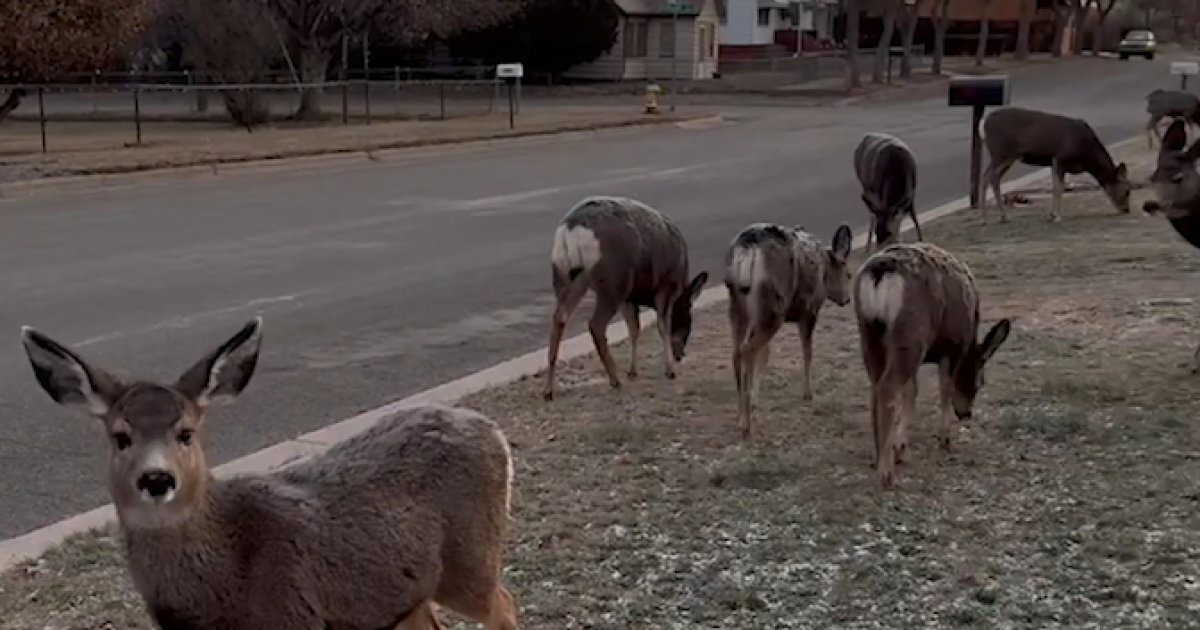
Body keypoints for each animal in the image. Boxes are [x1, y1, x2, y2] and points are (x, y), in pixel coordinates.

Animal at [19, 318, 520, 630]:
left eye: (186, 432)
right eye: (121, 437)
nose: (156, 479)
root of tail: (491, 429)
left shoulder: (296, 618)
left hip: (470, 561)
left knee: (505, 605)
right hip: (404, 596)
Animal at [543, 195, 708, 401]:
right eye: (688, 316)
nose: (680, 355)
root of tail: (572, 230)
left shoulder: (629, 298)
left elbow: (634, 329)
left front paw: (633, 371)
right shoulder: (665, 287)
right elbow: (662, 327)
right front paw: (670, 370)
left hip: (567, 276)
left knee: (559, 318)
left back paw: (549, 390)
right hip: (613, 282)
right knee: (595, 324)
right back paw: (615, 380)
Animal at [725, 222, 854, 439]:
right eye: (849, 273)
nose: (847, 299)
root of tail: (748, 250)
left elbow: (765, 354)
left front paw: (756, 400)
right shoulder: (809, 311)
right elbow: (807, 352)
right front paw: (808, 394)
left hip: (739, 305)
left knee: (737, 351)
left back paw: (740, 415)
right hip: (773, 306)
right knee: (747, 348)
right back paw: (746, 426)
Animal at [853, 242, 1011, 489]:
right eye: (979, 383)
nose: (966, 414)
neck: (970, 341)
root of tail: (880, 272)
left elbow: (912, 392)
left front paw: (900, 445)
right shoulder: (953, 346)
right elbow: (944, 388)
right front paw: (944, 439)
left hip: (869, 333)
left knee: (876, 387)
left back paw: (879, 456)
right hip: (910, 334)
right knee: (888, 387)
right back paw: (886, 474)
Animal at [978, 106, 1132, 224]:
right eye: (1127, 190)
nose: (1126, 209)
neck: (1087, 155)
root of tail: (983, 124)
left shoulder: (1055, 163)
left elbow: (1056, 186)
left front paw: (1053, 214)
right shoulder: (1059, 158)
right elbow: (1059, 187)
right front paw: (1056, 215)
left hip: (1008, 157)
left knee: (995, 178)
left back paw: (1004, 216)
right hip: (1001, 152)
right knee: (986, 176)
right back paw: (984, 219)